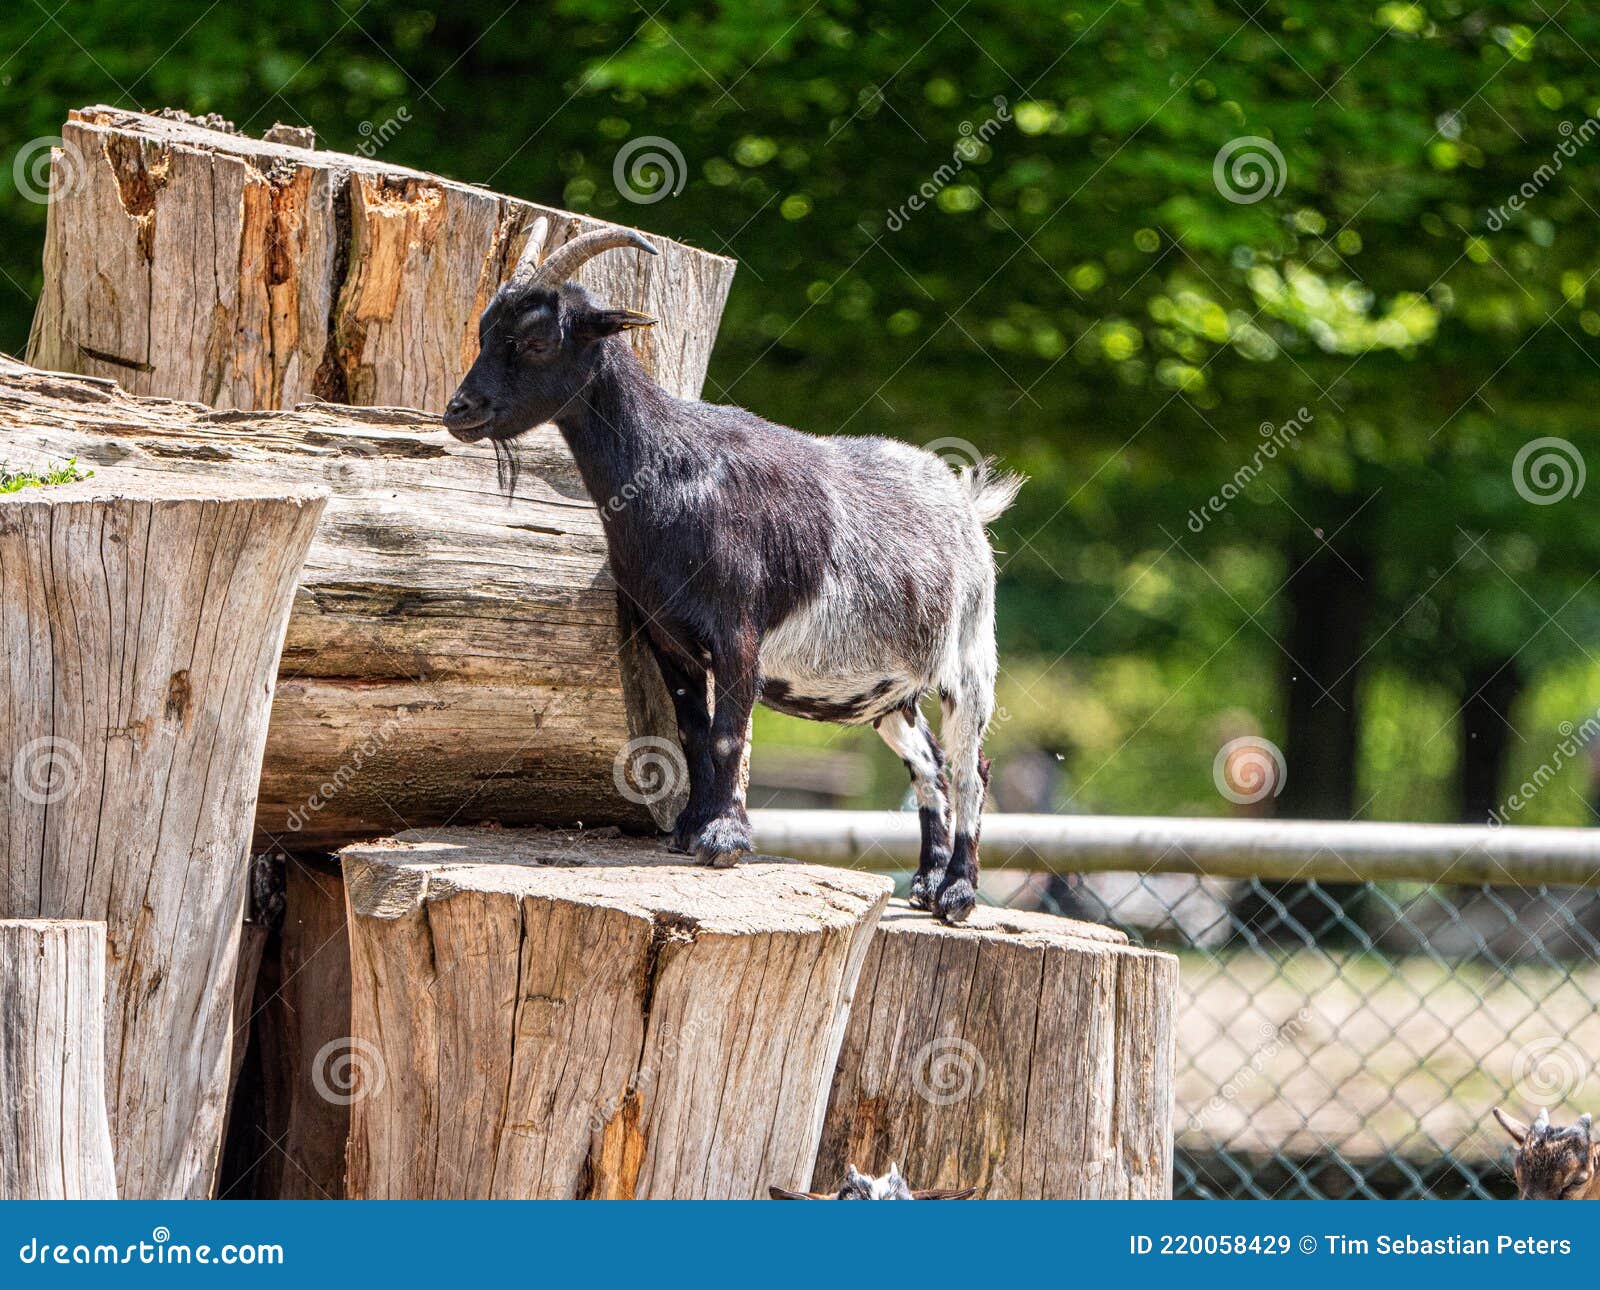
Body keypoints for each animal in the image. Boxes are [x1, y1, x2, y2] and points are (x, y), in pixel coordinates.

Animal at [445, 219, 1021, 923]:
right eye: (483, 332)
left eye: (535, 339)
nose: (459, 410)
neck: (674, 472)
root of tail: (965, 501)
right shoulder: (667, 637)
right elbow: (693, 733)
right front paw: (688, 829)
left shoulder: (739, 633)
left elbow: (726, 735)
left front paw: (723, 840)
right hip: (889, 694)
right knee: (929, 763)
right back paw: (926, 882)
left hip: (970, 659)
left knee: (971, 765)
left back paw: (959, 892)